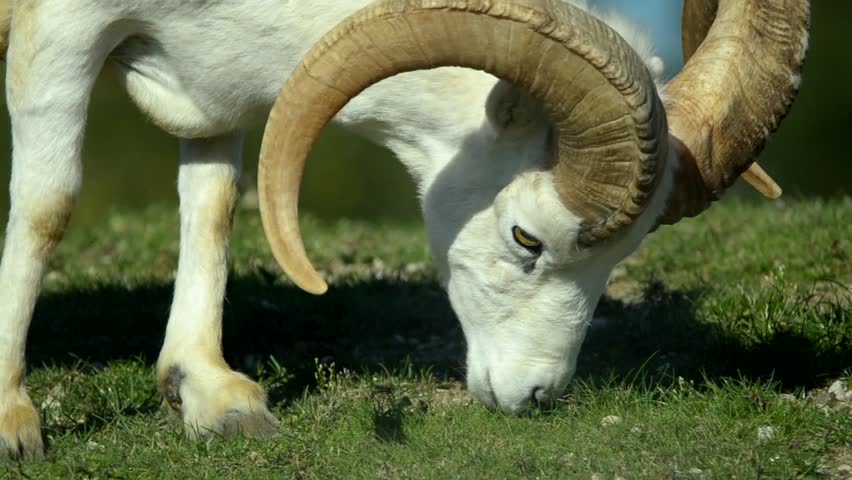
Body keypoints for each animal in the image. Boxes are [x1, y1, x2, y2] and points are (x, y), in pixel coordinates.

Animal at [0, 0, 809, 459]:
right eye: (525, 238)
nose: (537, 395)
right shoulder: (65, 31)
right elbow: (48, 205)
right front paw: (14, 424)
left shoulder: (210, 96)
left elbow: (213, 200)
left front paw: (213, 400)